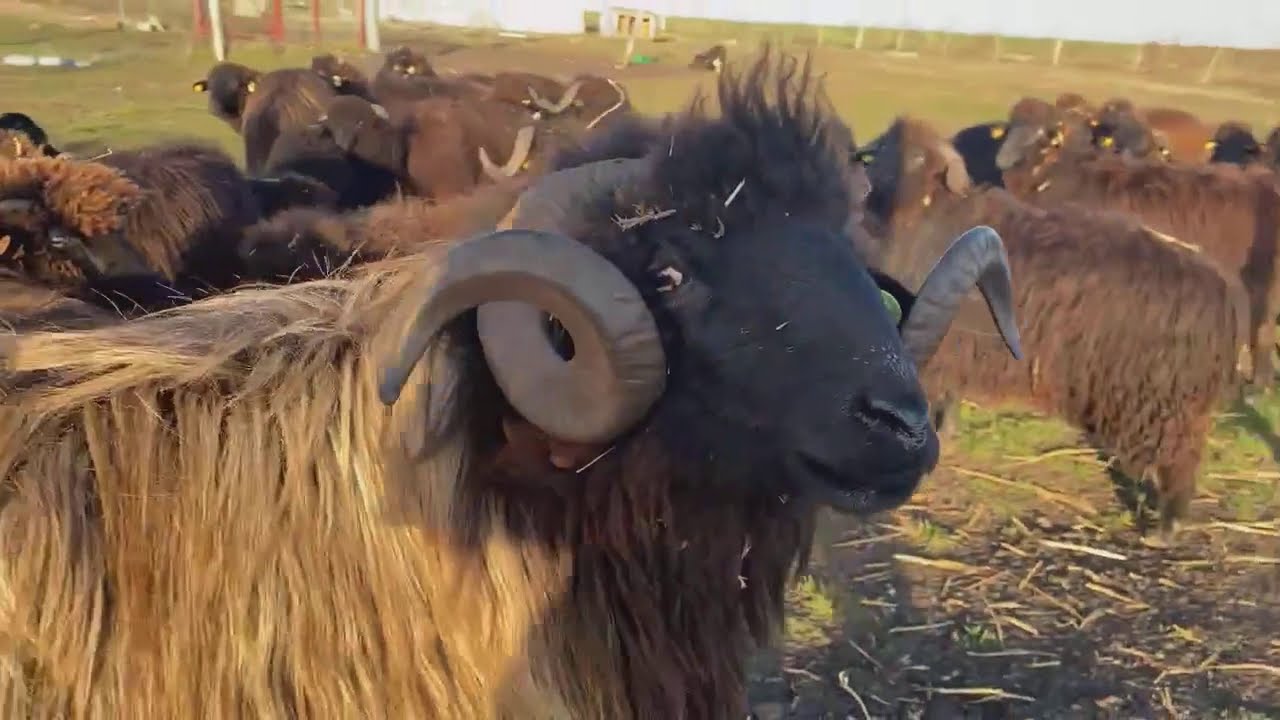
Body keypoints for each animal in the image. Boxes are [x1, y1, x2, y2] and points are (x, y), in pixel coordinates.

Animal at [858, 115, 1249, 539]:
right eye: (885, 147)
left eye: (916, 158)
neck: (926, 214)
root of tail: (1224, 291)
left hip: (1163, 399)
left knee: (1179, 459)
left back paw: (1166, 526)